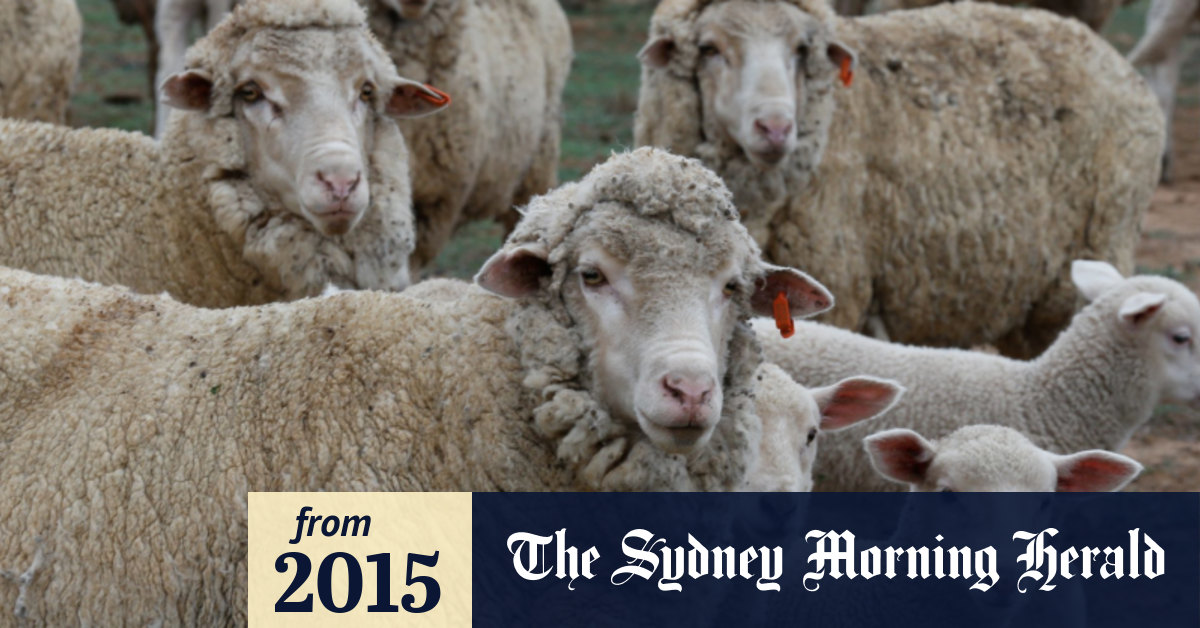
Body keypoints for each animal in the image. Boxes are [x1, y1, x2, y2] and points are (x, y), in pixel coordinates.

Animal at [635, 0, 1163, 358]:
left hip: (1092, 258)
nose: (776, 128)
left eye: (802, 49)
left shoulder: (840, 288)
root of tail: (1104, 52)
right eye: (709, 49)